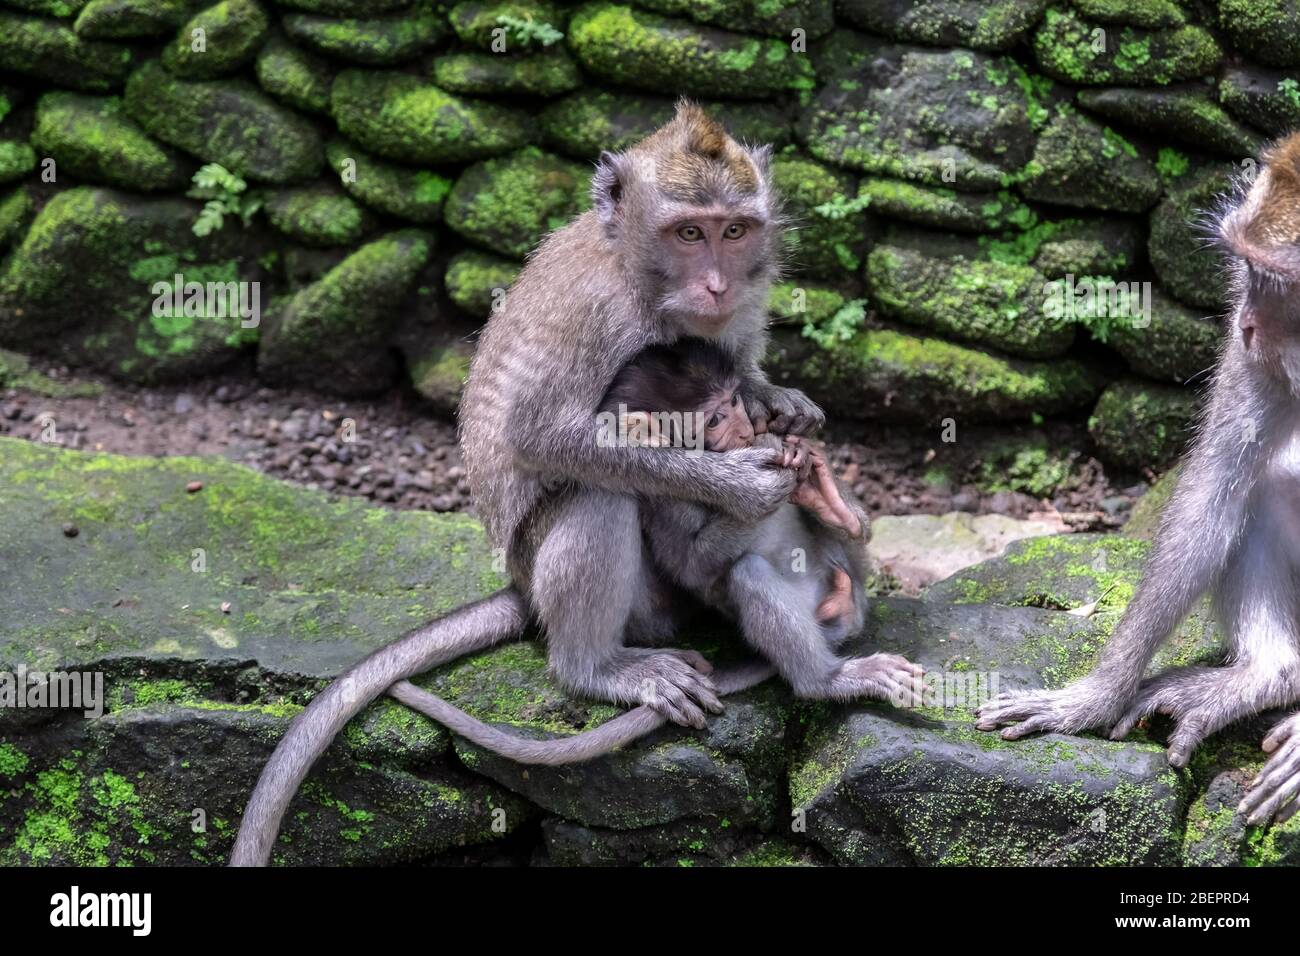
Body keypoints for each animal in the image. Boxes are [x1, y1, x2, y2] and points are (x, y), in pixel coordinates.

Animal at [229, 102, 823, 865]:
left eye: (735, 231)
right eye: (689, 233)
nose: (719, 285)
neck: (639, 275)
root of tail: (518, 584)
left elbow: (739, 366)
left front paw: (778, 401)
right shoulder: (600, 315)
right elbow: (545, 437)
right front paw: (740, 484)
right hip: (604, 590)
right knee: (596, 494)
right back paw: (595, 667)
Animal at [600, 337, 925, 703]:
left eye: (734, 400)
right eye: (714, 420)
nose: (744, 431)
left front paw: (805, 471)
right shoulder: (664, 490)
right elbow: (690, 566)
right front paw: (758, 487)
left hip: (848, 580)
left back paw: (835, 508)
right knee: (748, 571)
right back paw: (827, 679)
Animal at [976, 133, 1300, 827]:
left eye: (1280, 279)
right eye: (1246, 267)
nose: (1247, 325)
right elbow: (1214, 487)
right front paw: (1091, 700)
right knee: (1261, 486)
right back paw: (1272, 673)